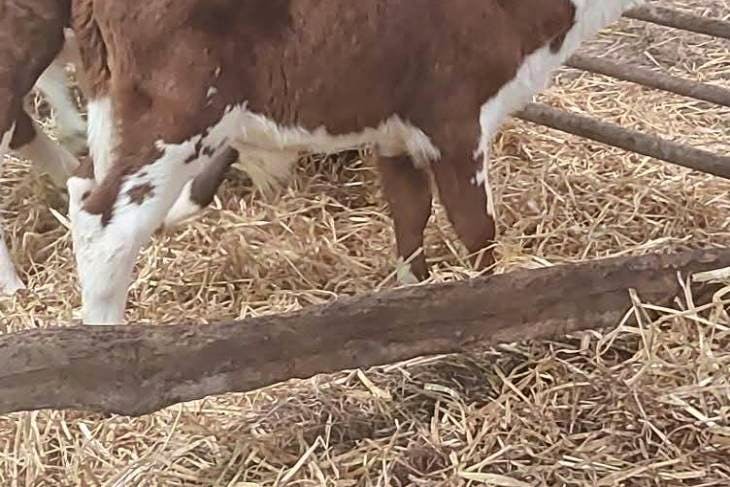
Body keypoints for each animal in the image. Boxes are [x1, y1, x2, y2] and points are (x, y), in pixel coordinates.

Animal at [68, 0, 645, 324]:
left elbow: (410, 218)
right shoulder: (454, 120)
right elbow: (476, 230)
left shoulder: (397, 135)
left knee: (82, 191)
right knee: (106, 222)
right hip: (179, 117)